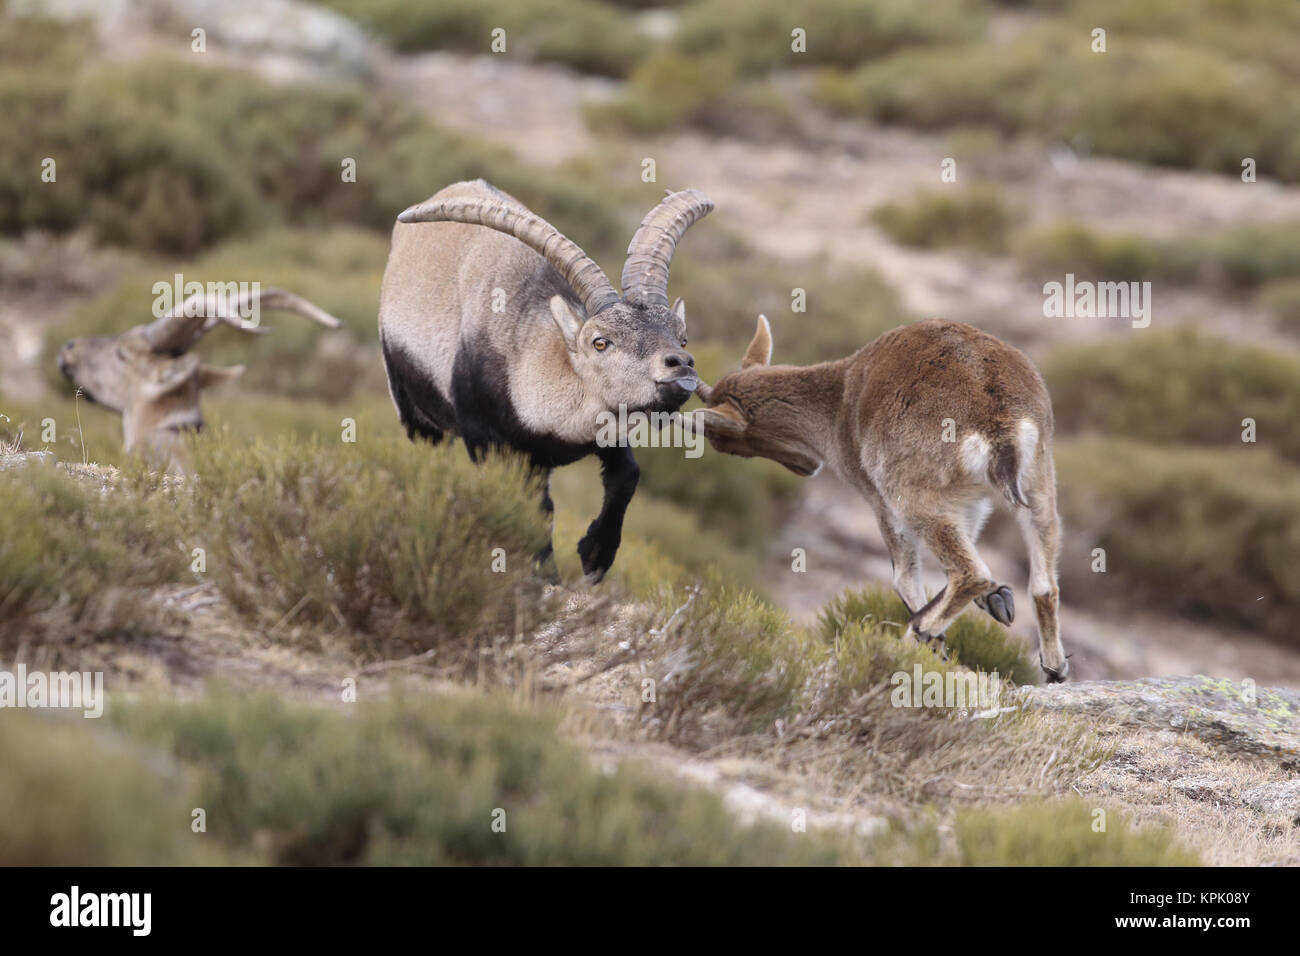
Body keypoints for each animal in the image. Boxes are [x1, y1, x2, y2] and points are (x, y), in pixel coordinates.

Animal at [379, 179, 712, 580]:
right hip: (413, 407)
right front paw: (546, 573)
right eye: (600, 342)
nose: (681, 365)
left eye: (682, 338)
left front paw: (595, 556)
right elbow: (533, 506)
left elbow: (626, 476)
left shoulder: (600, 432)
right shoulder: (486, 438)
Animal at [690, 316, 1069, 682]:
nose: (805, 467)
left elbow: (903, 576)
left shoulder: (878, 496)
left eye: (726, 444)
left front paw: (944, 636)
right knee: (1043, 584)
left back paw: (907, 642)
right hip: (1039, 485)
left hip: (913, 496)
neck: (839, 400)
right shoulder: (970, 502)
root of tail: (997, 419)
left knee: (970, 572)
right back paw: (1054, 667)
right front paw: (997, 600)